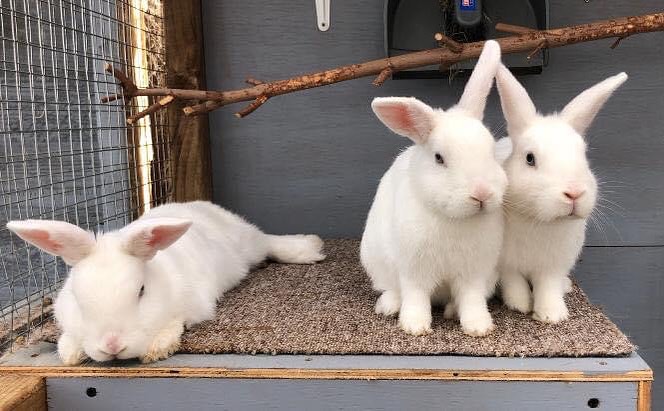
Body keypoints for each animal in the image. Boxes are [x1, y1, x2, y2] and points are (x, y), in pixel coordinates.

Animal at [7, 201, 325, 365]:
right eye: (76, 296)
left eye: (141, 291)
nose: (112, 345)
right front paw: (71, 352)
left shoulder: (193, 305)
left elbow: (176, 322)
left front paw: (159, 347)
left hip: (248, 245)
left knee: (267, 242)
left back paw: (309, 247)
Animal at [360, 40, 507, 337]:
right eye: (439, 158)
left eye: (491, 150)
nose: (482, 194)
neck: (454, 220)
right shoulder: (414, 270)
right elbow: (415, 296)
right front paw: (415, 326)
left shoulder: (475, 273)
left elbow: (472, 299)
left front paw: (478, 327)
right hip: (376, 261)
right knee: (391, 288)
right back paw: (389, 307)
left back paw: (451, 311)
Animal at [494, 65, 627, 323]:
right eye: (530, 158)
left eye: (583, 155)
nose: (574, 193)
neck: (538, 221)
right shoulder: (506, 265)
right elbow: (514, 283)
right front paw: (520, 305)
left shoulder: (554, 266)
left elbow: (548, 287)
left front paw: (551, 315)